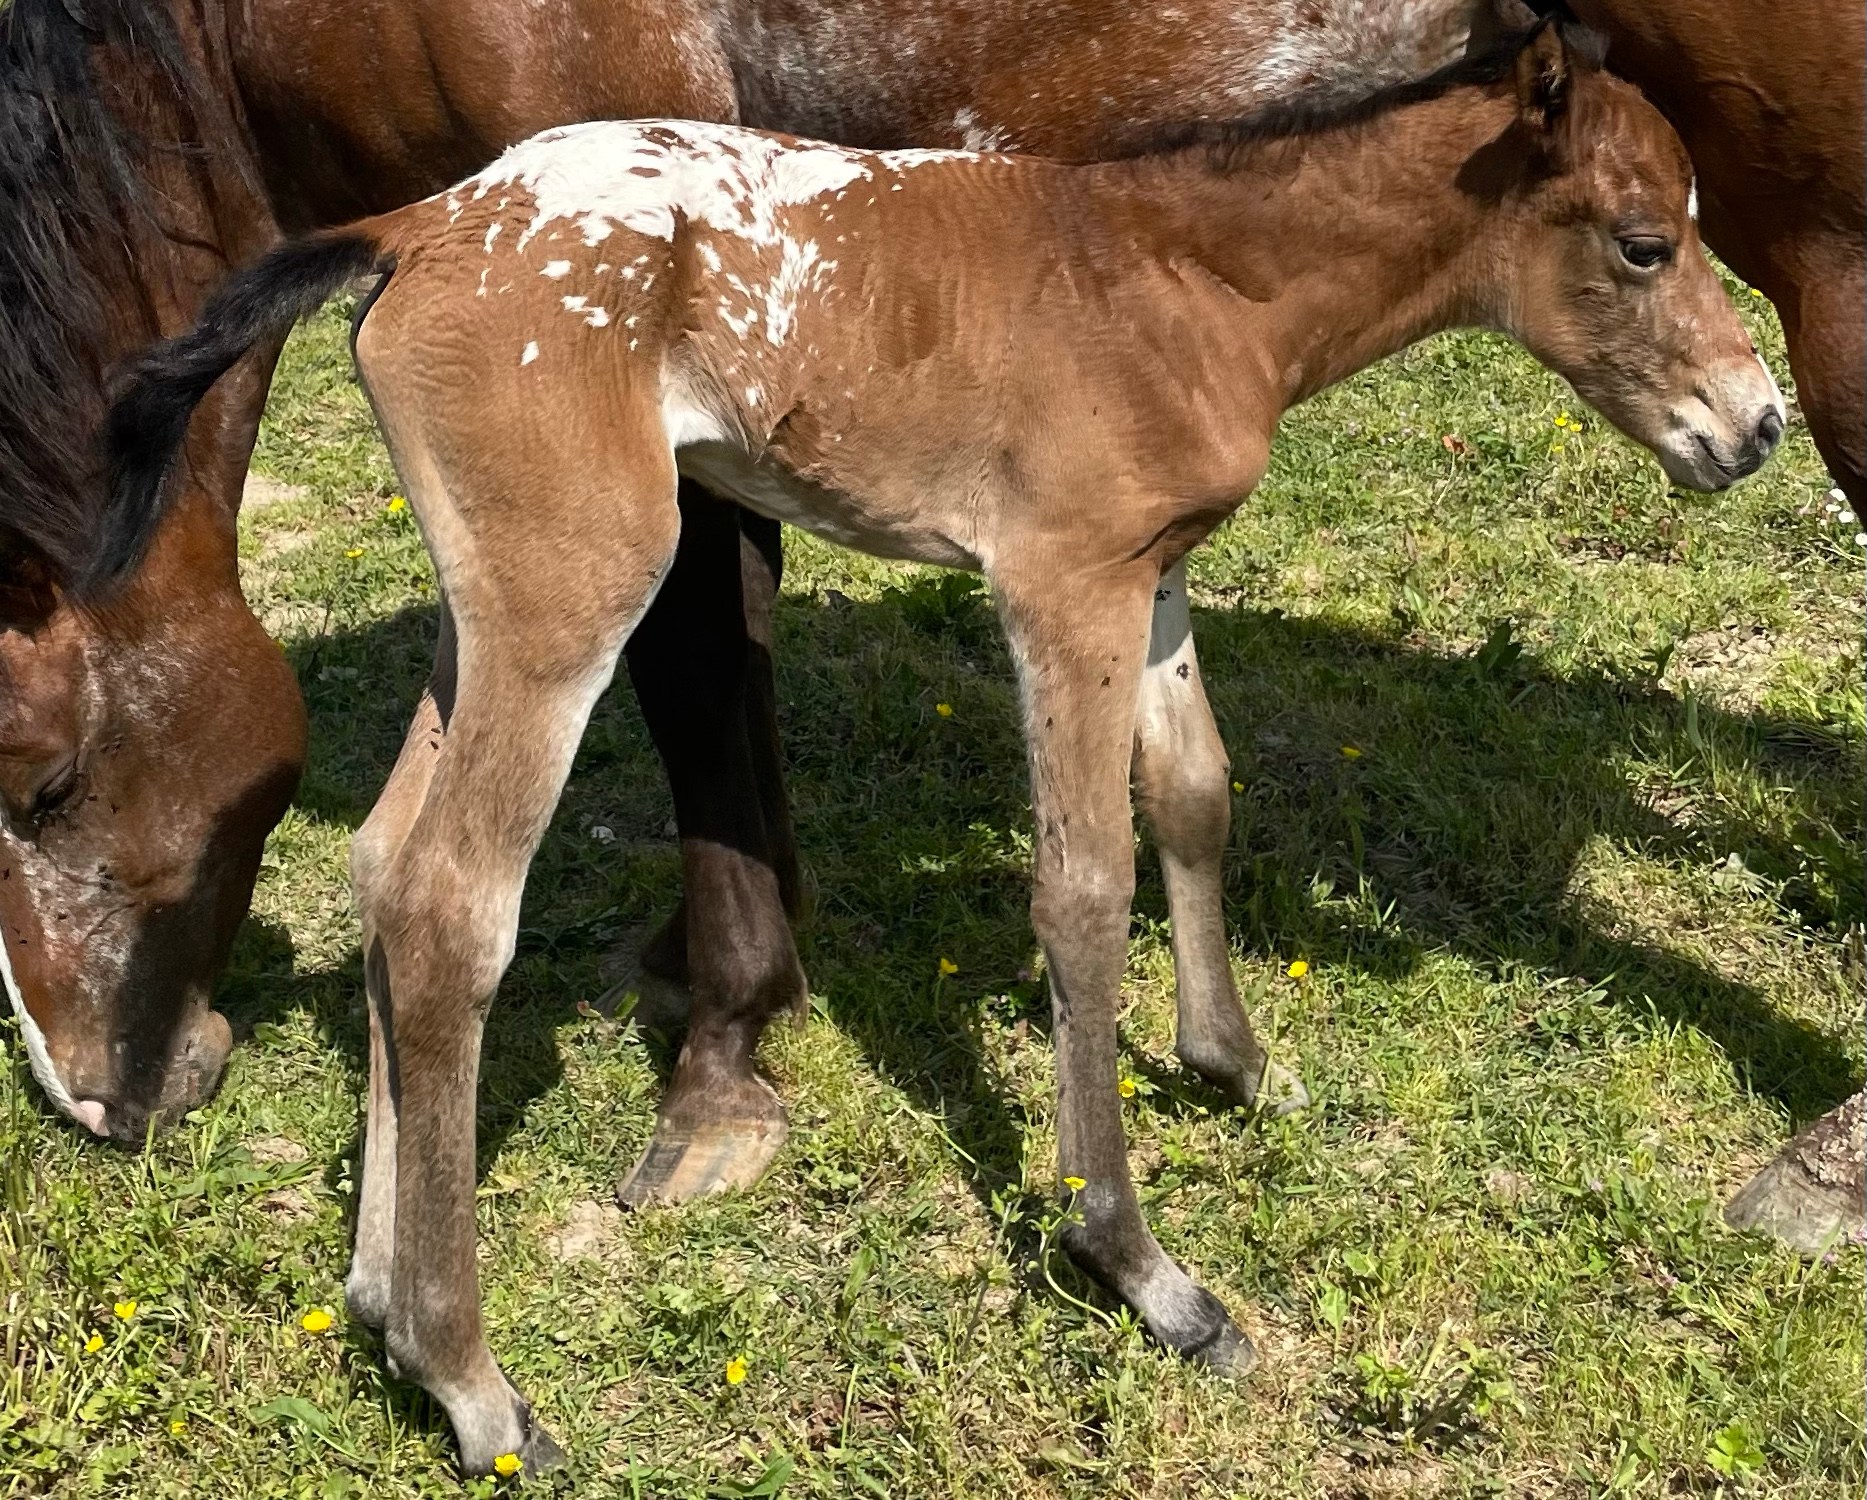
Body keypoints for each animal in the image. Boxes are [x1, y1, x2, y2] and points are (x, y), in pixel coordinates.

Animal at [101, 22, 1783, 1471]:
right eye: (1643, 241)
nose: (1753, 424)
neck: (1178, 277)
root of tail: (415, 229)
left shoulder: (1148, 575)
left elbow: (1193, 796)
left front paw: (1233, 1062)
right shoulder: (1056, 584)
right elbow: (1080, 893)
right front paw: (1140, 1267)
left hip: (487, 608)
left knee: (384, 871)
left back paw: (380, 1302)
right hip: (574, 588)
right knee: (451, 908)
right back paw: (468, 1380)